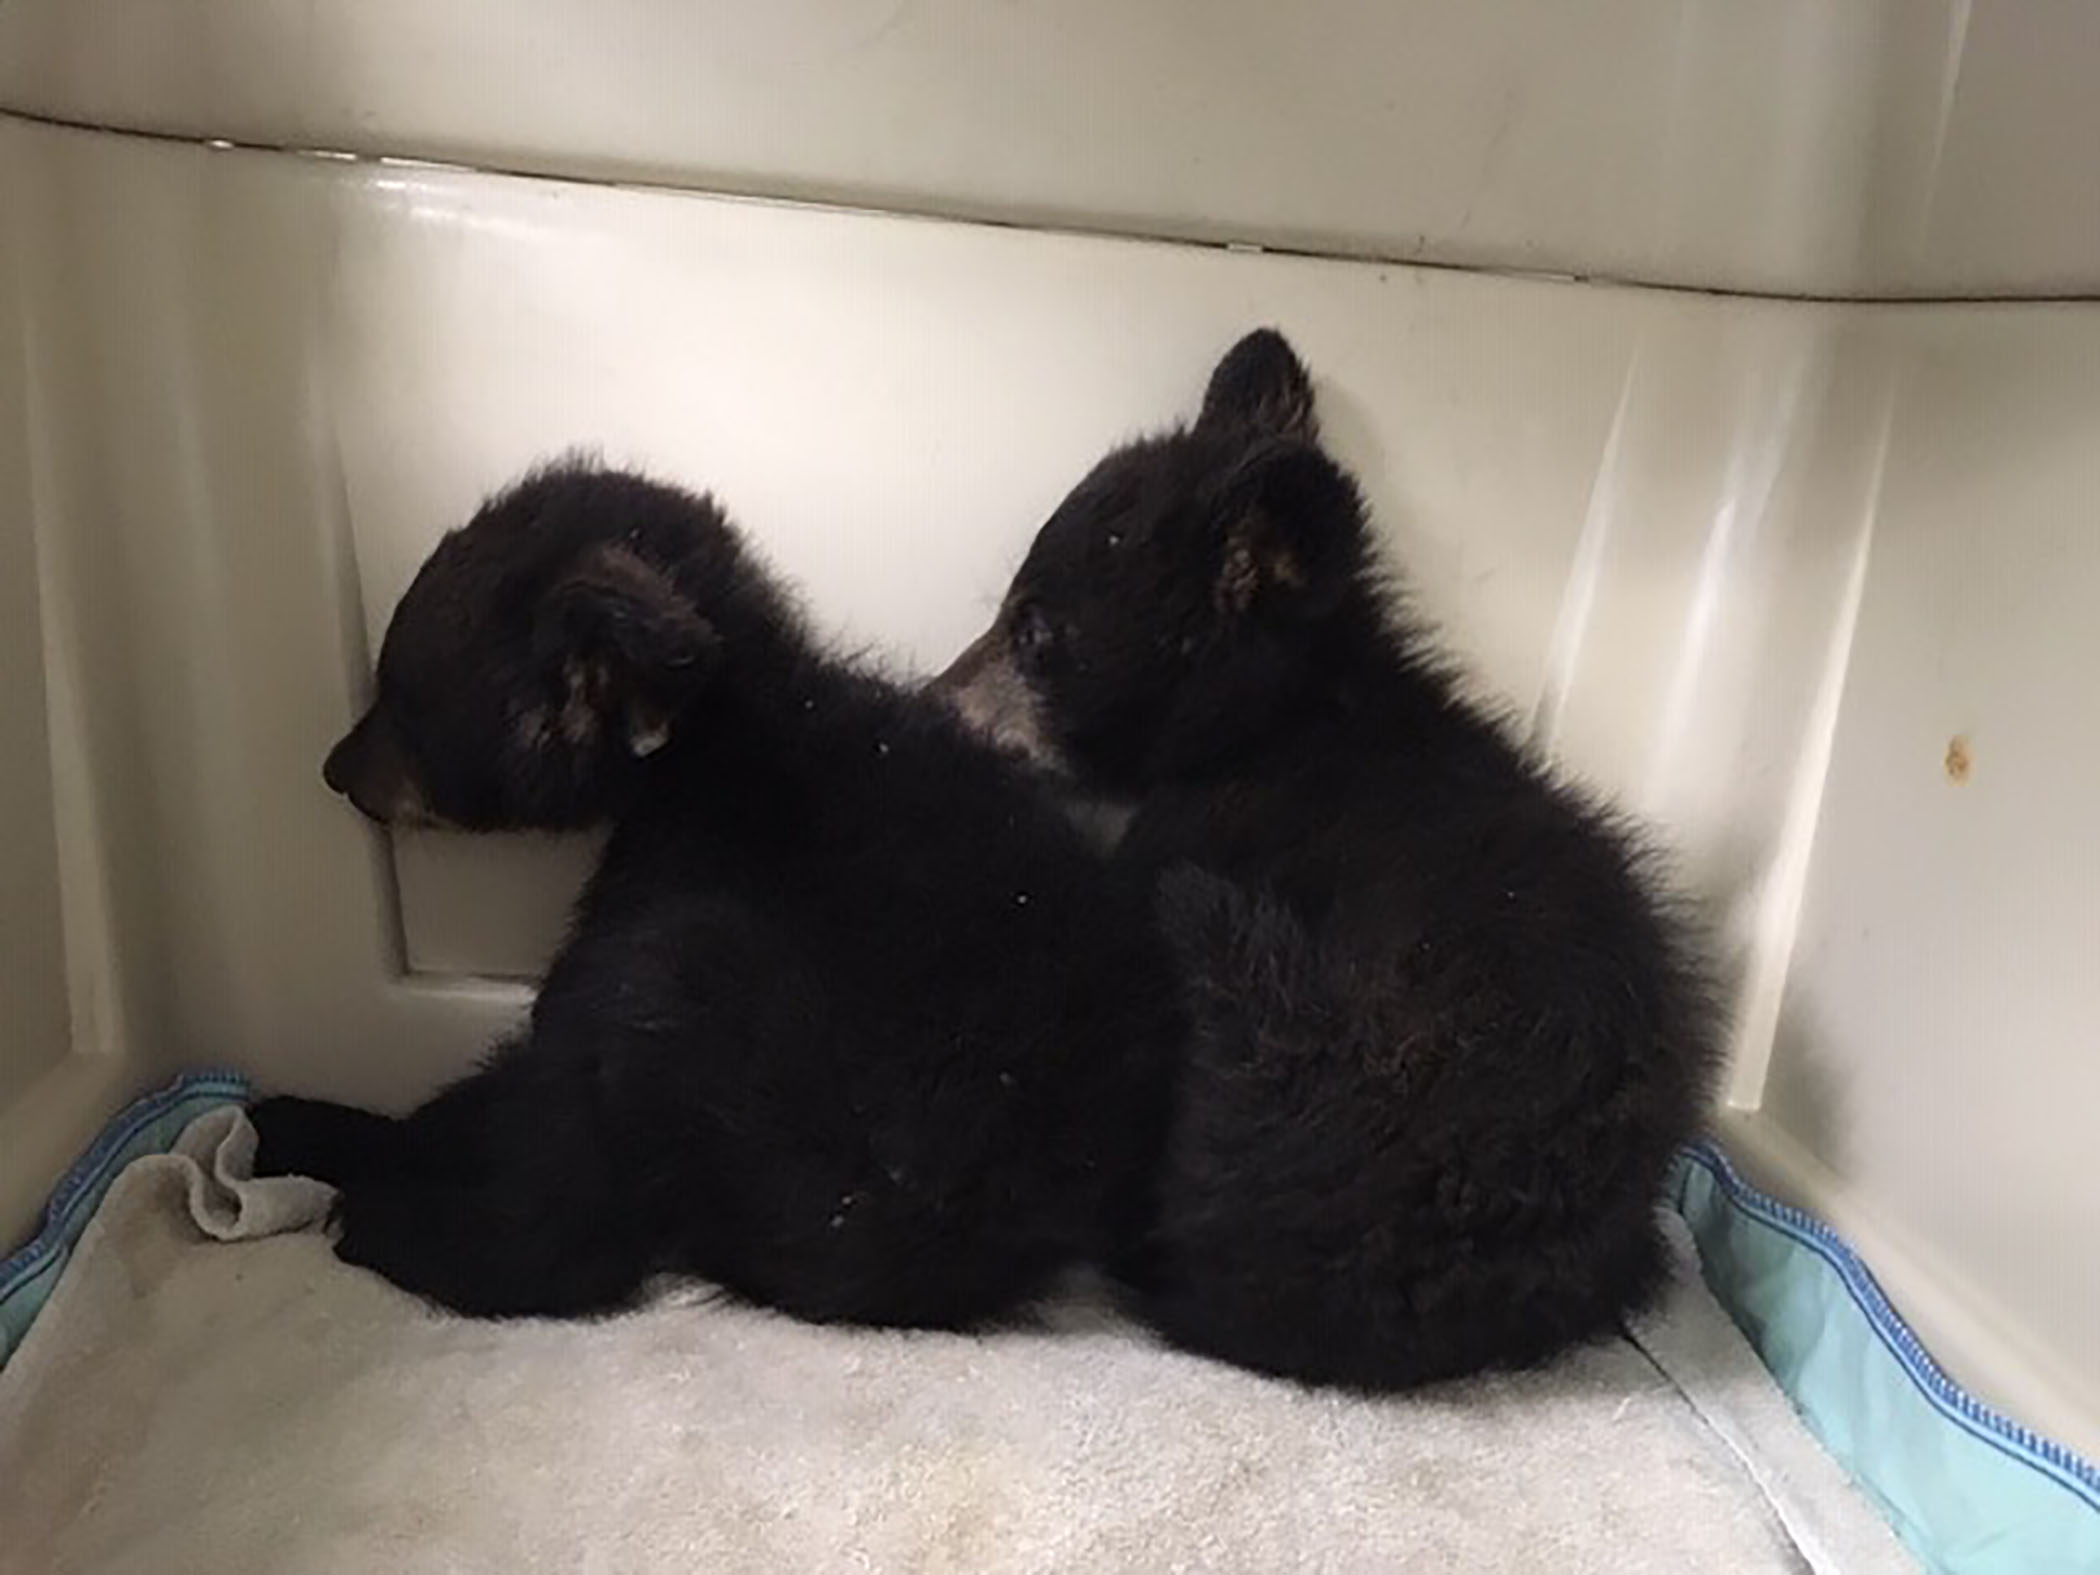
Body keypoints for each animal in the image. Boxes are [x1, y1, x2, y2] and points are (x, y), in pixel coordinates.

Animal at [251, 460, 1182, 1328]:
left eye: (405, 706)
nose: (329, 769)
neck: (713, 733)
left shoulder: (634, 916)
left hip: (683, 1008)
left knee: (573, 1227)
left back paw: (380, 1216)